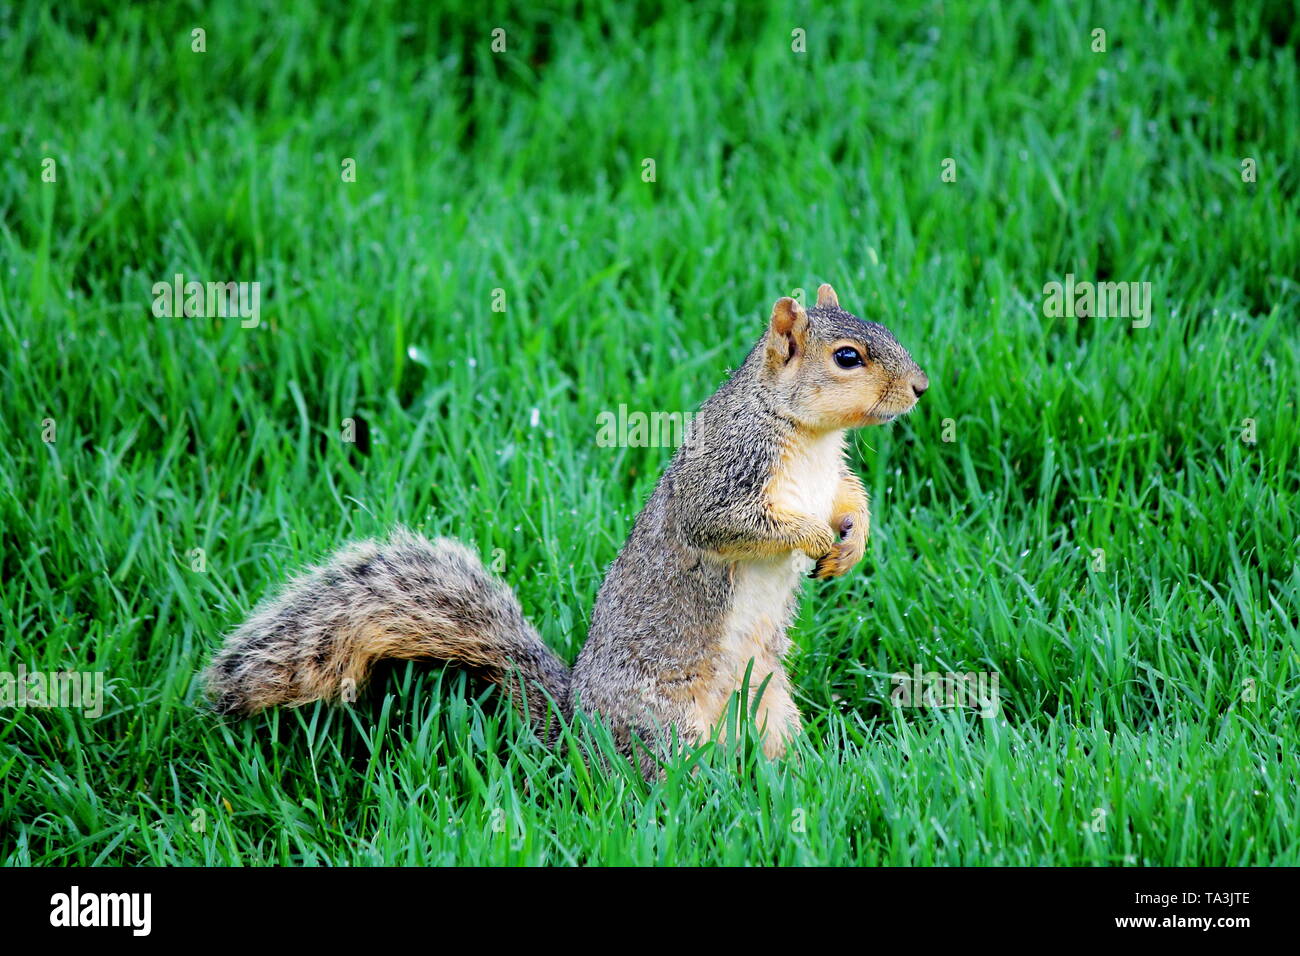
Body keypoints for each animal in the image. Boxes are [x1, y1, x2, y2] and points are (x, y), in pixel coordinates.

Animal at [202, 283, 928, 773]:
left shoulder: (831, 478)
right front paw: (814, 541)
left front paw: (853, 541)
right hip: (662, 722)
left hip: (772, 707)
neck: (809, 437)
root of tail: (579, 726)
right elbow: (732, 524)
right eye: (847, 357)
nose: (921, 387)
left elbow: (851, 499)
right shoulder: (726, 477)